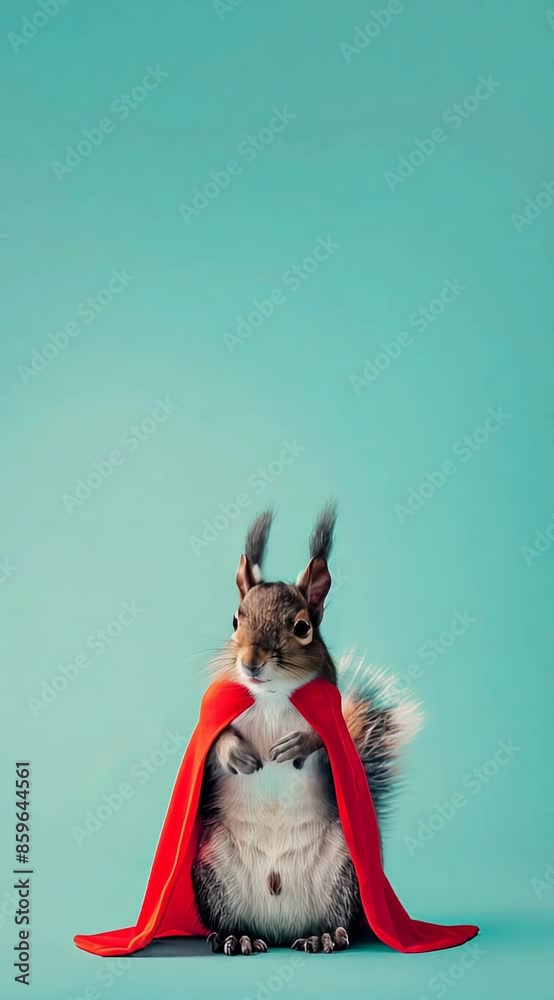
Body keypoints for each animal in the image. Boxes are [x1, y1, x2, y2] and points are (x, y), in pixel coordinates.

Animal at [192, 505, 420, 955]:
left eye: (301, 627)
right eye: (235, 619)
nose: (251, 662)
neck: (272, 695)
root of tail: (280, 931)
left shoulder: (330, 719)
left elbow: (327, 743)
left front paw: (298, 743)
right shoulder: (216, 713)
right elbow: (214, 745)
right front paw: (236, 754)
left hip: (343, 868)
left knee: (335, 919)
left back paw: (323, 935)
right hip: (212, 864)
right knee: (230, 918)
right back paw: (236, 936)